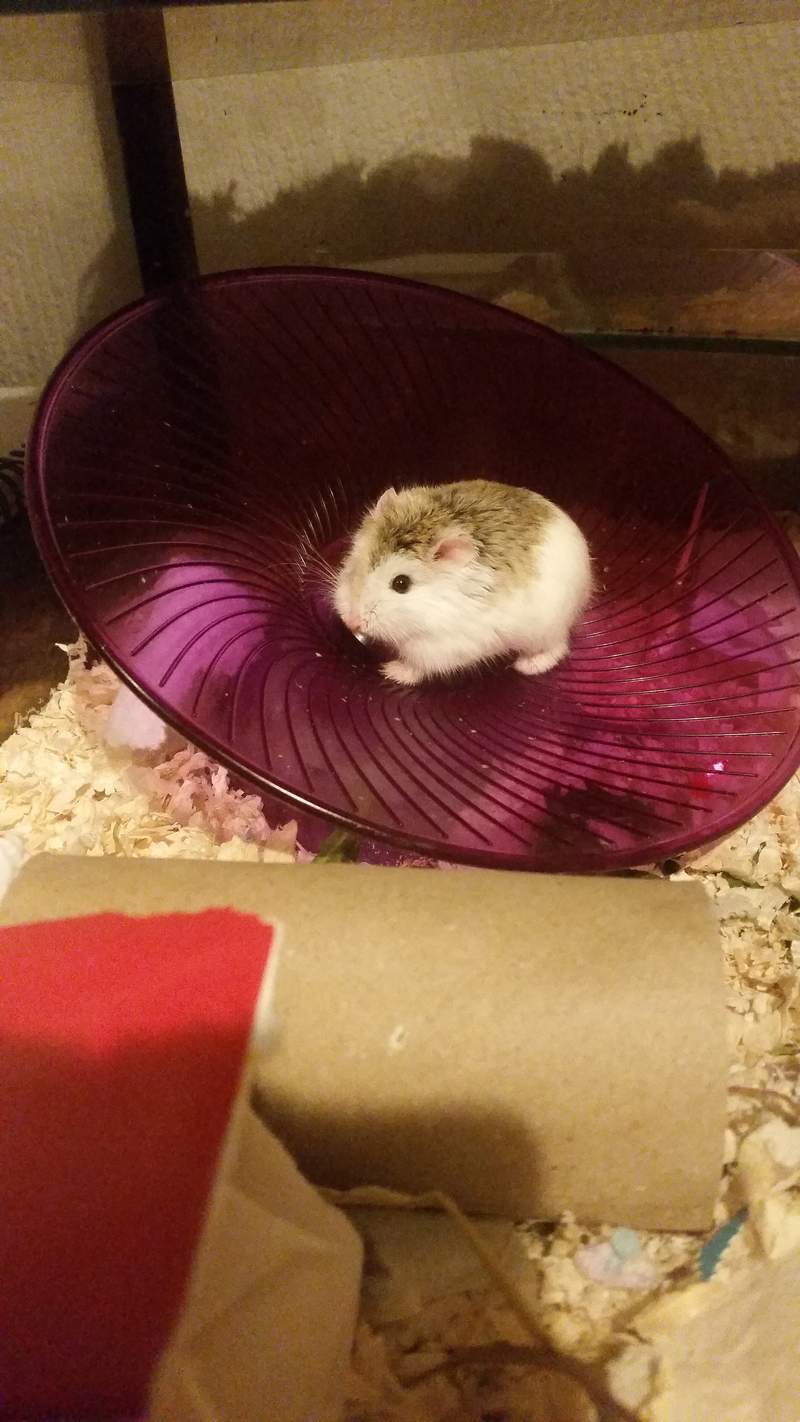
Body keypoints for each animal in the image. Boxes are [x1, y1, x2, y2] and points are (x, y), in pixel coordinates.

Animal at [333, 479, 592, 685]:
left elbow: (417, 667)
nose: (351, 622)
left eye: (401, 583)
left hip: (546, 630)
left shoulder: (439, 649)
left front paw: (390, 672)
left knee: (559, 648)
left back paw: (526, 666)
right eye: (357, 561)